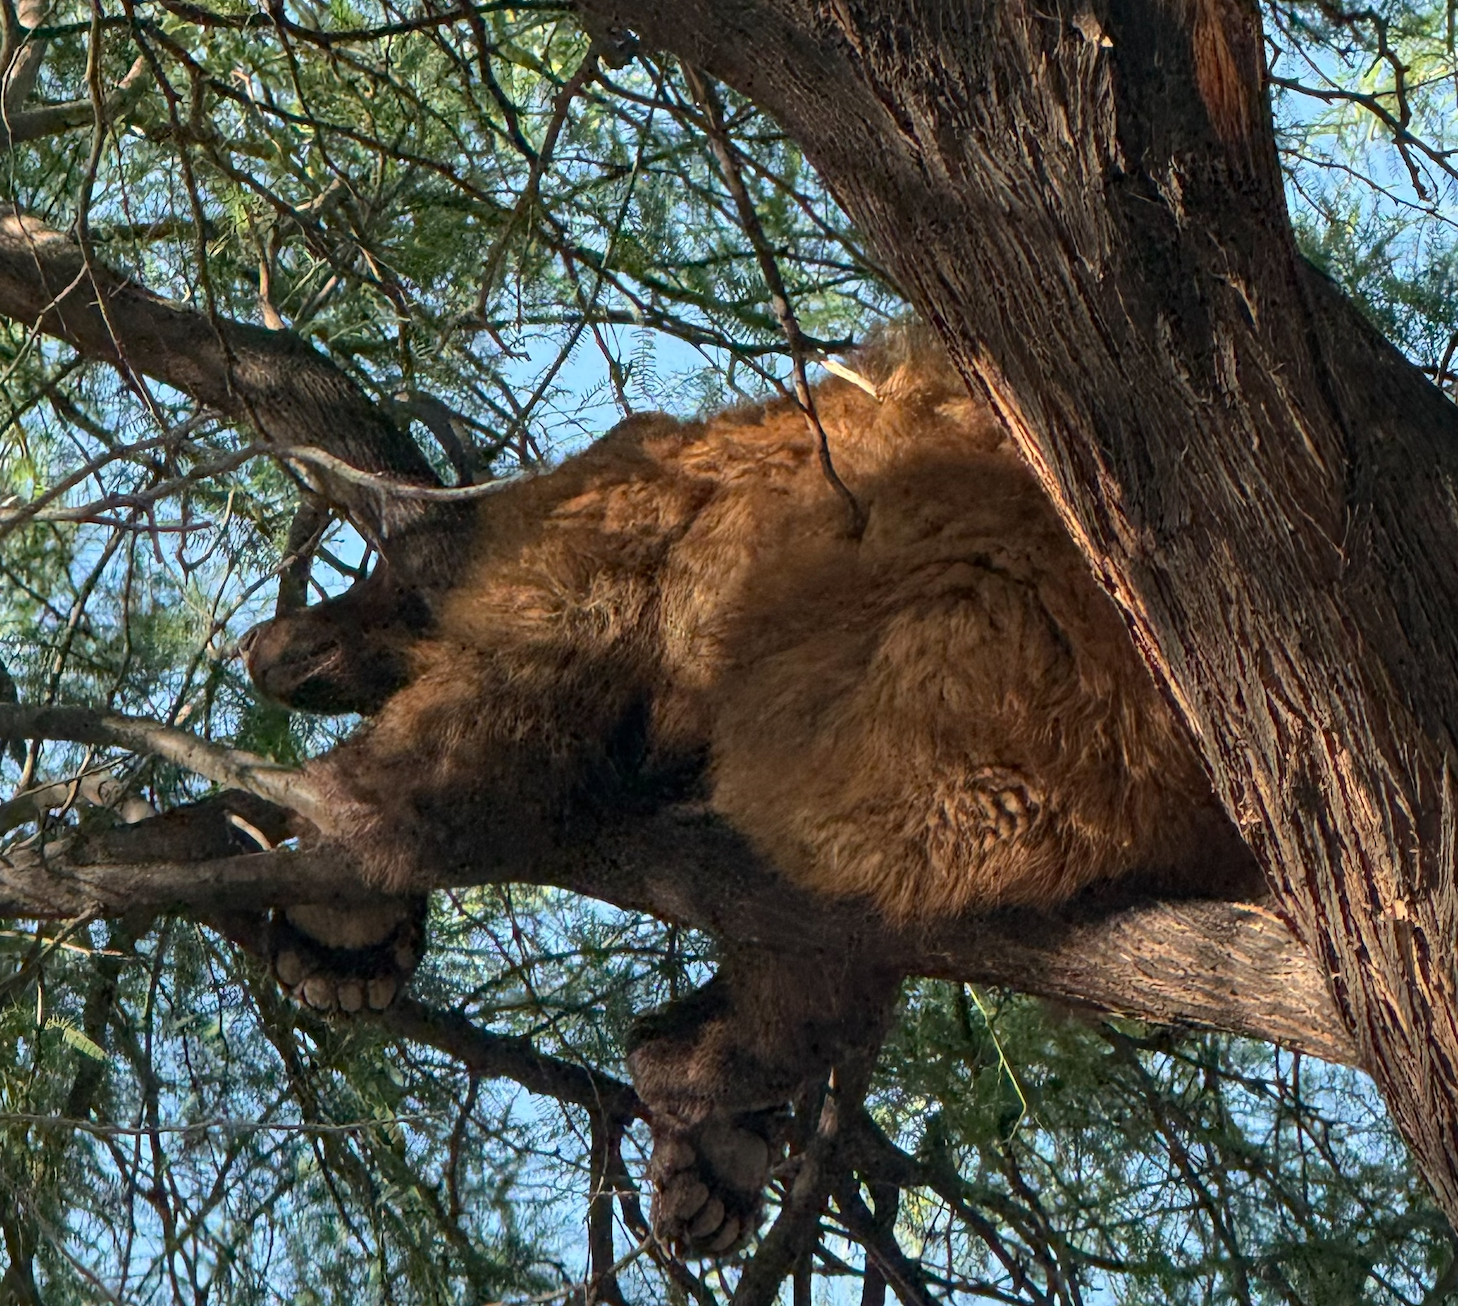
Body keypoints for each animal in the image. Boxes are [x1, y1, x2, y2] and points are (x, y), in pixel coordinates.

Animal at [241, 330, 1258, 1256]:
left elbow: (531, 669)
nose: (263, 647)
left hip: (959, 659)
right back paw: (717, 1123)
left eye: (366, 588)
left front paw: (347, 896)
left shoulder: (675, 528)